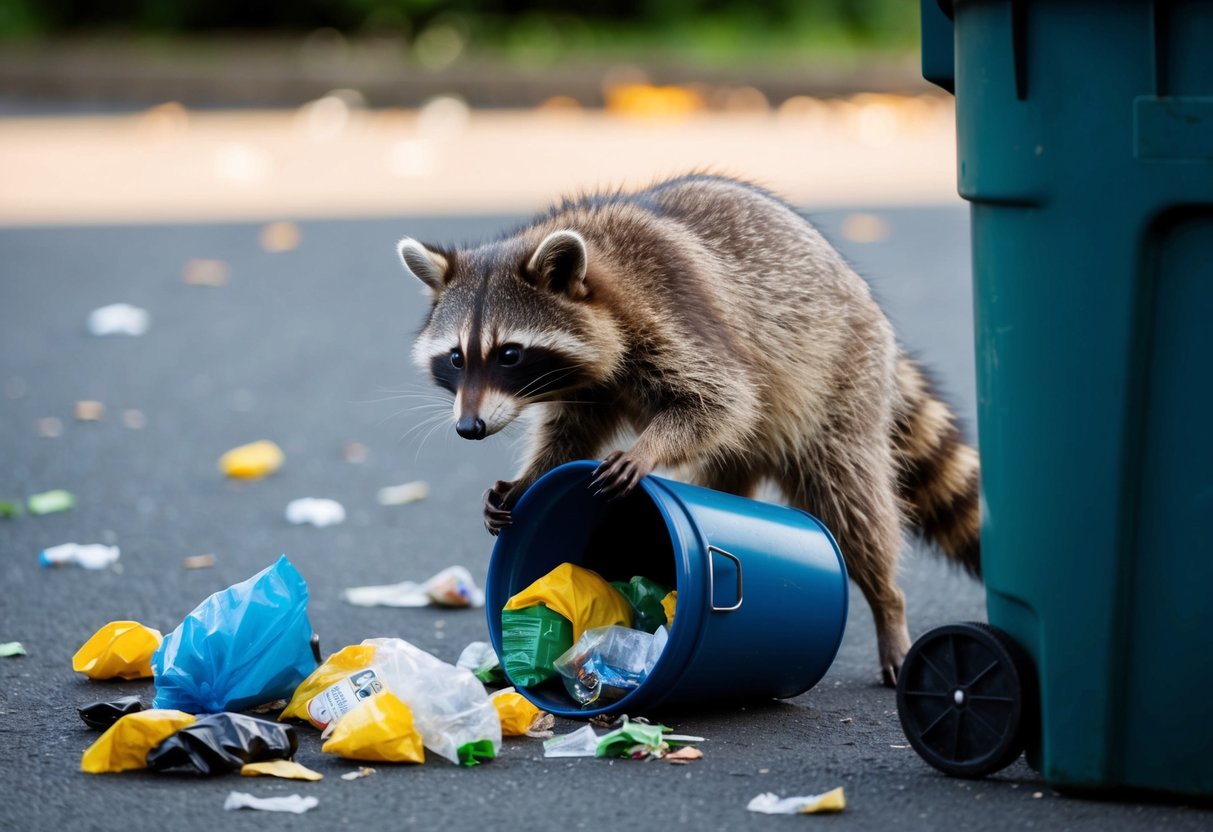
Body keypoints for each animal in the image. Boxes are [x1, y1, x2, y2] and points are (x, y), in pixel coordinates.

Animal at [398, 173, 980, 686]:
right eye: (456, 357)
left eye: (510, 354)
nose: (469, 427)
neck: (600, 269)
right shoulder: (591, 387)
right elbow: (570, 434)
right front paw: (529, 479)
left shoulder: (675, 312)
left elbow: (722, 399)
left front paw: (649, 448)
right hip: (757, 443)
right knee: (727, 479)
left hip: (841, 382)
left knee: (851, 501)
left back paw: (888, 603)